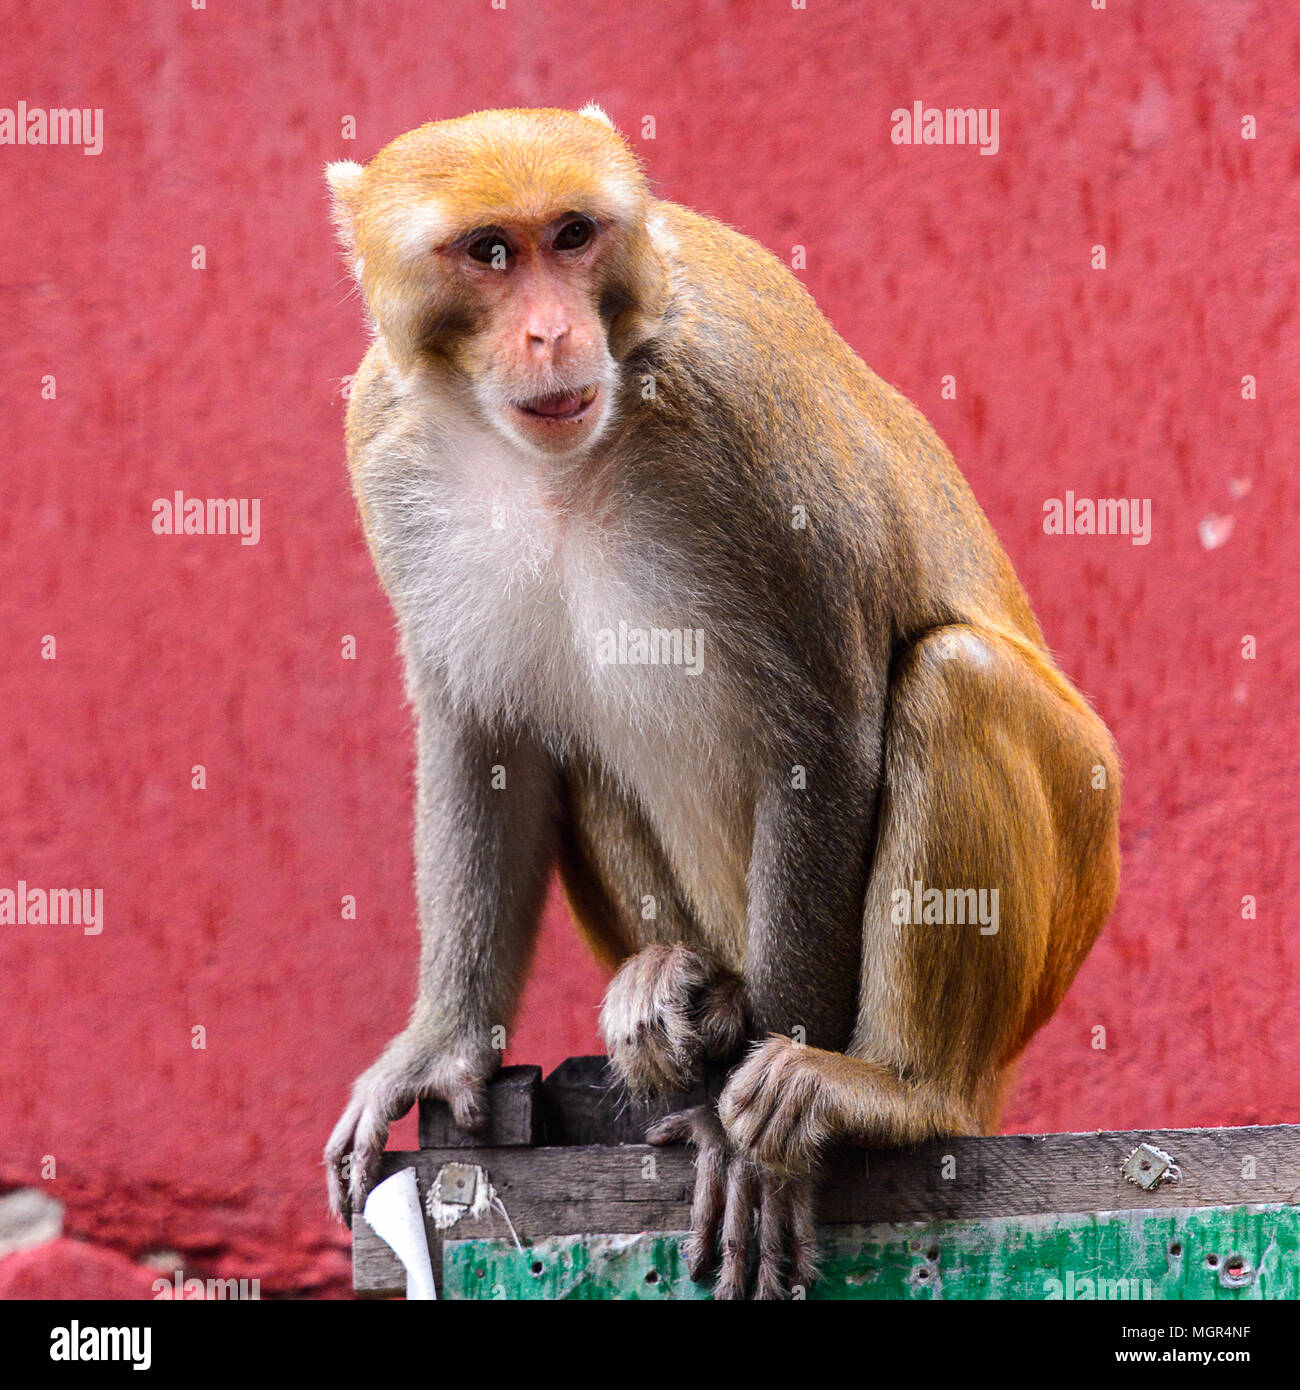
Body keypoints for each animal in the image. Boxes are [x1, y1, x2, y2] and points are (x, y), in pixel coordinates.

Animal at [322, 104, 1121, 1300]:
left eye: (573, 235)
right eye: (491, 252)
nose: (550, 334)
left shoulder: (736, 417)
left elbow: (825, 733)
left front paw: (745, 1145)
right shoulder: (386, 440)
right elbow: (487, 737)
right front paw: (443, 1043)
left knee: (953, 682)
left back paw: (889, 1084)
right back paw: (687, 982)